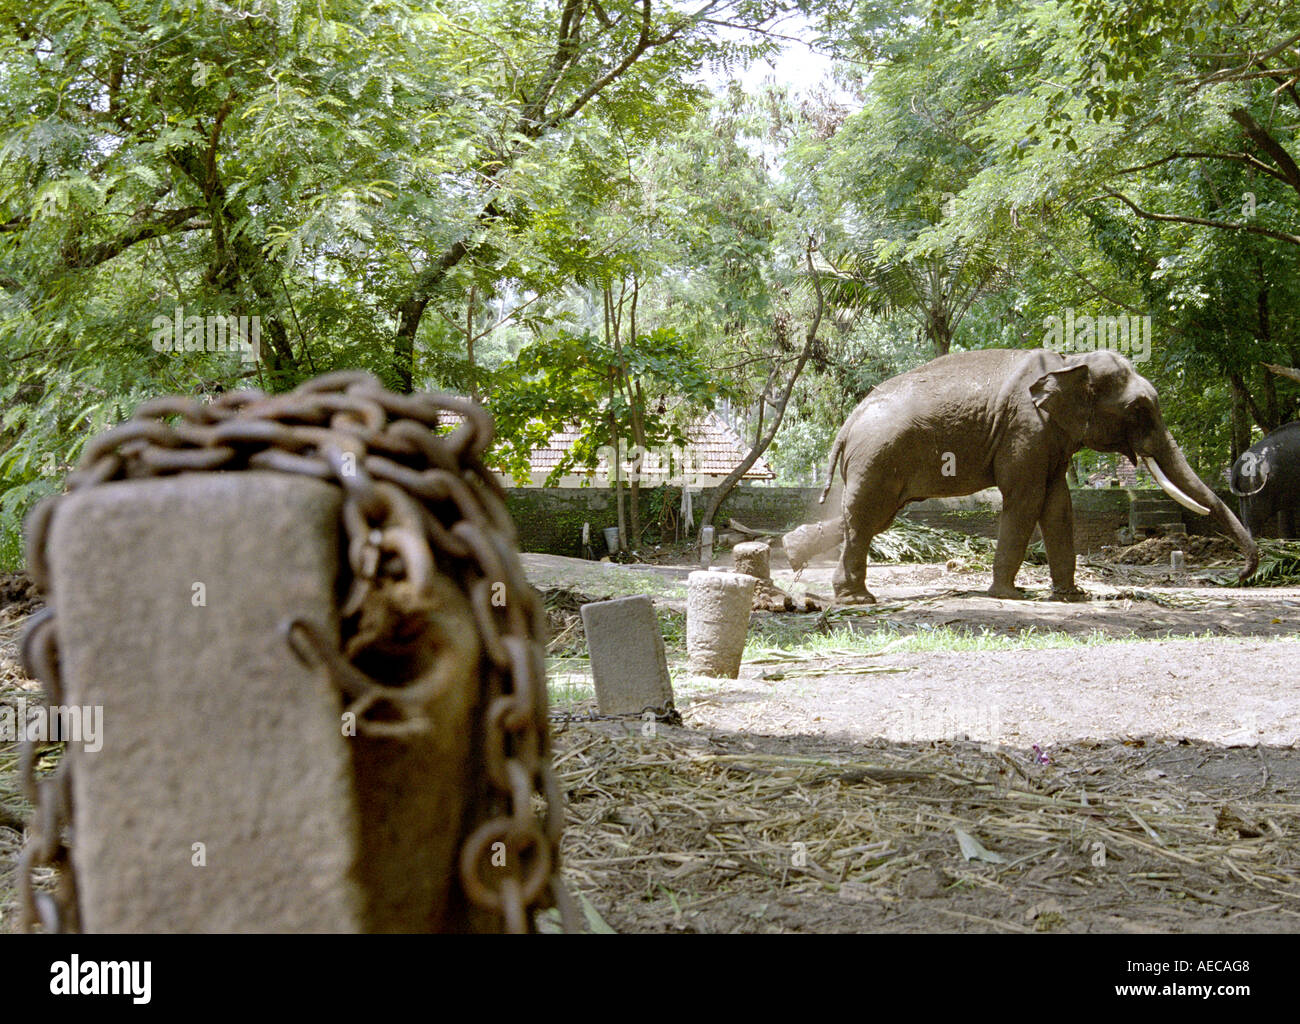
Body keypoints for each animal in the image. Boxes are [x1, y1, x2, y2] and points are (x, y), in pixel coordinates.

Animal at [818, 348, 1259, 603]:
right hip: (876, 458)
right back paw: (857, 601)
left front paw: (1070, 596)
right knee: (865, 519)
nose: (1238, 576)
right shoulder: (1025, 429)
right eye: (1139, 410)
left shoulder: (1051, 437)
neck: (1069, 362)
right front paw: (1008, 595)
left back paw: (850, 595)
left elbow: (1057, 503)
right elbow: (1025, 498)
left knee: (865, 520)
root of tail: (849, 420)